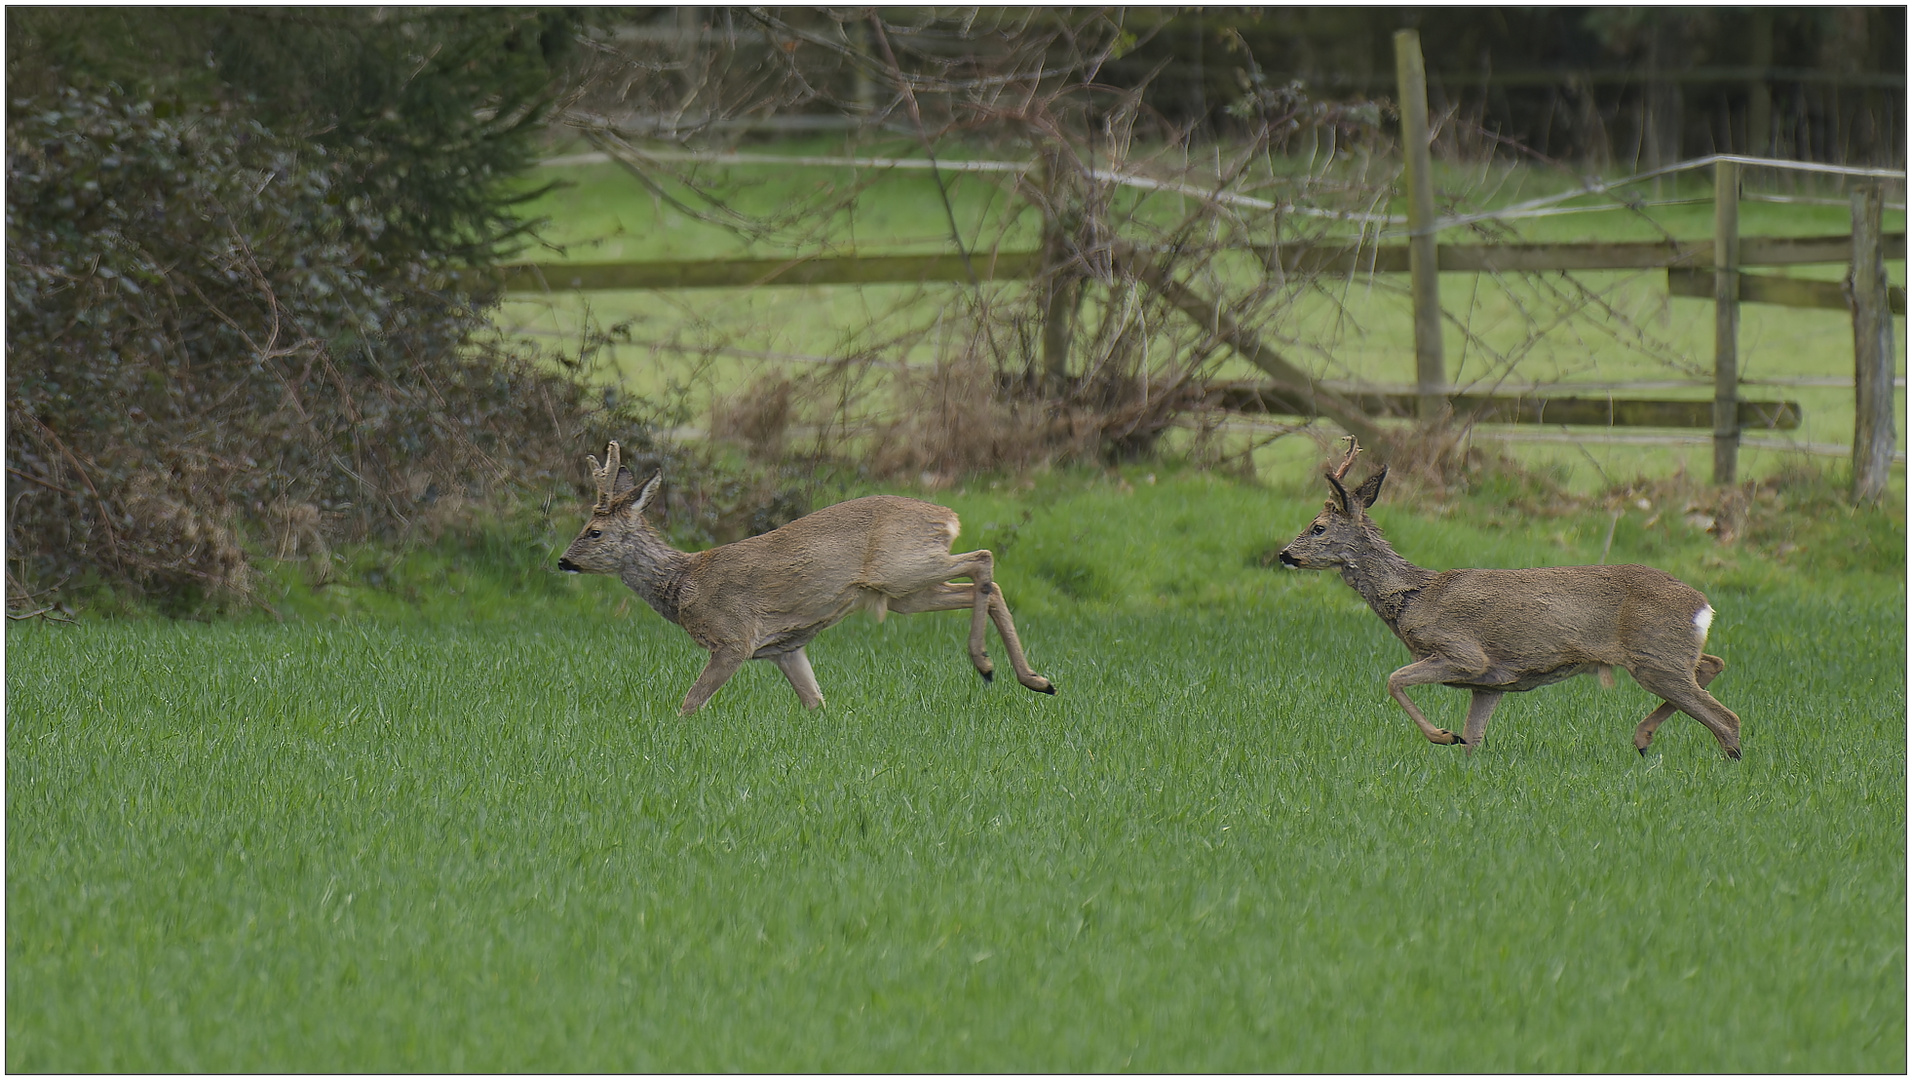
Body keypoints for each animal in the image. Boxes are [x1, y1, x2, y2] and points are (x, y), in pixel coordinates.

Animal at [554, 441, 1063, 711]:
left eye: (593, 531)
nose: (562, 561)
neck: (681, 586)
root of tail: (948, 516)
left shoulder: (733, 637)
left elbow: (690, 703)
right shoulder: (785, 648)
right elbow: (816, 703)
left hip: (901, 568)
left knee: (983, 558)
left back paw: (986, 664)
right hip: (905, 592)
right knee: (986, 585)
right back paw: (1036, 679)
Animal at [1277, 437, 1743, 756]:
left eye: (1317, 527)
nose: (1284, 554)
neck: (1413, 598)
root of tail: (1703, 605)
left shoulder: (1464, 654)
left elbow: (1393, 679)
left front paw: (1442, 735)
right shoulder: (1490, 683)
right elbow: (1474, 740)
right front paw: (1460, 749)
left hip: (1654, 655)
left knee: (1728, 718)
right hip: (1665, 655)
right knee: (1713, 664)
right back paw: (1643, 738)